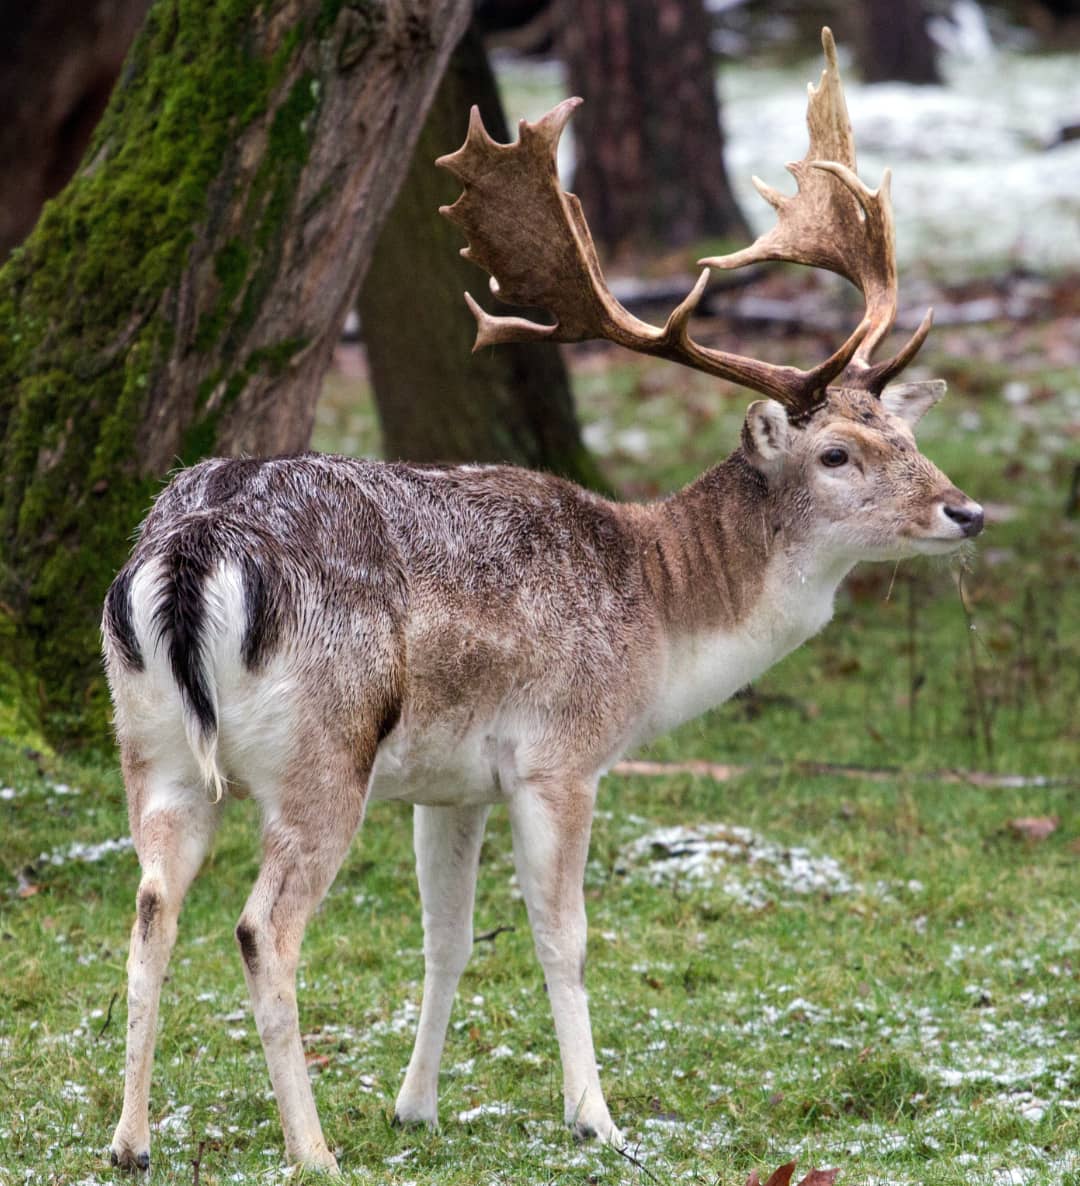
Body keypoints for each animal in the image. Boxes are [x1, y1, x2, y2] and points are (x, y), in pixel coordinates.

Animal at [102, 29, 982, 1174]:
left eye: (908, 435)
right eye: (838, 453)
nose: (967, 509)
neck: (657, 610)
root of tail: (191, 548)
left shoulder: (451, 783)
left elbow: (447, 935)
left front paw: (416, 1106)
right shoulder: (560, 753)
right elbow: (562, 936)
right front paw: (596, 1118)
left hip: (153, 745)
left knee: (149, 908)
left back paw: (130, 1141)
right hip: (321, 752)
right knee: (262, 927)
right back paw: (312, 1150)